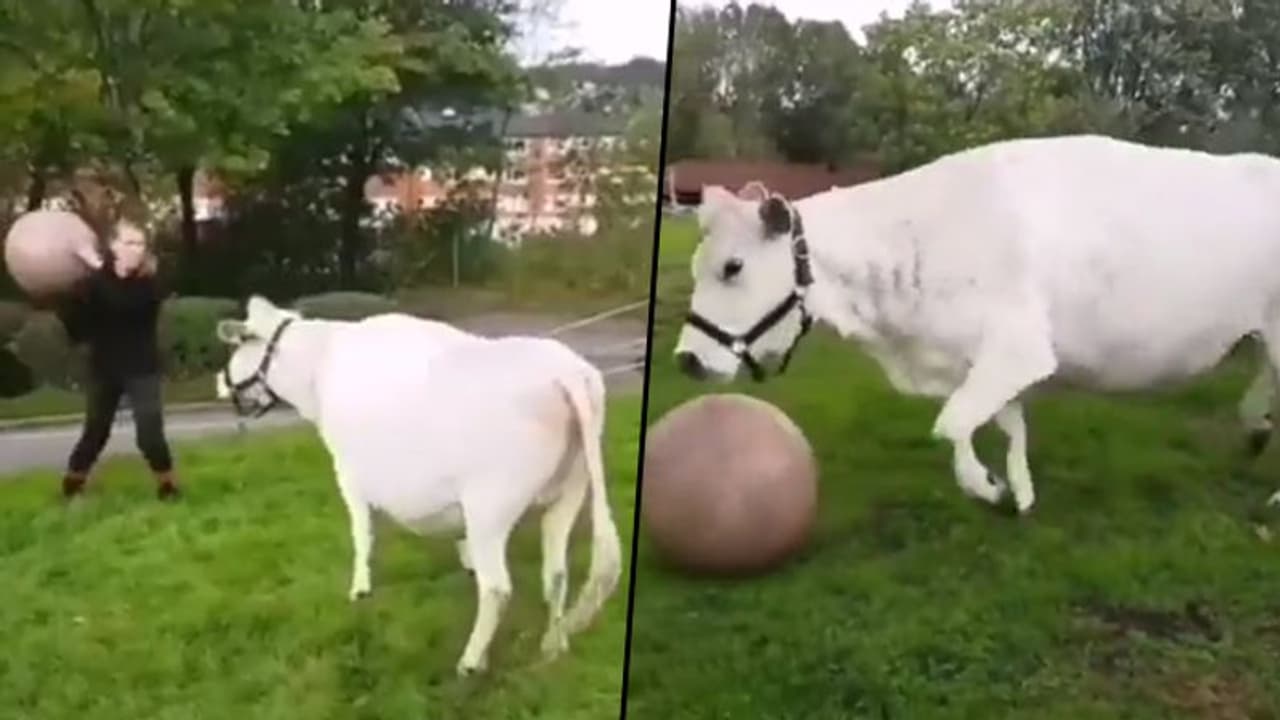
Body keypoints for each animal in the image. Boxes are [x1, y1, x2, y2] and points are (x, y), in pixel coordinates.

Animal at [215, 296, 622, 676]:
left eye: (237, 344)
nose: (220, 382)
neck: (319, 365)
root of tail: (567, 372)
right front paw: (464, 559)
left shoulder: (348, 470)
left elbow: (362, 534)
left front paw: (360, 588)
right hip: (570, 491)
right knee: (555, 574)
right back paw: (553, 646)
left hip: (491, 506)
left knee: (496, 588)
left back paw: (471, 661)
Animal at [673, 134, 1280, 514]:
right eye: (695, 265)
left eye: (732, 267)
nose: (687, 359)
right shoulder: (981, 358)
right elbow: (1006, 424)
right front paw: (1016, 489)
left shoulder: (1019, 349)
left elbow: (952, 423)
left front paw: (985, 487)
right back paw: (1255, 429)